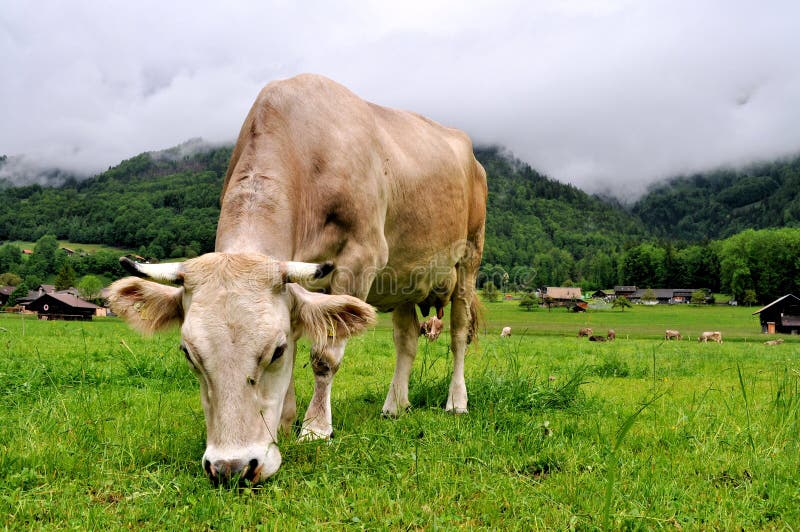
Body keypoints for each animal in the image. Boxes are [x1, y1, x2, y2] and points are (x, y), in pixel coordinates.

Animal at [108, 74, 487, 485]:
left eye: (275, 351)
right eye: (188, 353)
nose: (231, 468)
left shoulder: (359, 259)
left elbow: (325, 355)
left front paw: (315, 428)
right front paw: (286, 424)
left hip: (468, 261)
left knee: (458, 334)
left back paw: (457, 401)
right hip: (403, 277)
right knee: (406, 340)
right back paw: (395, 406)